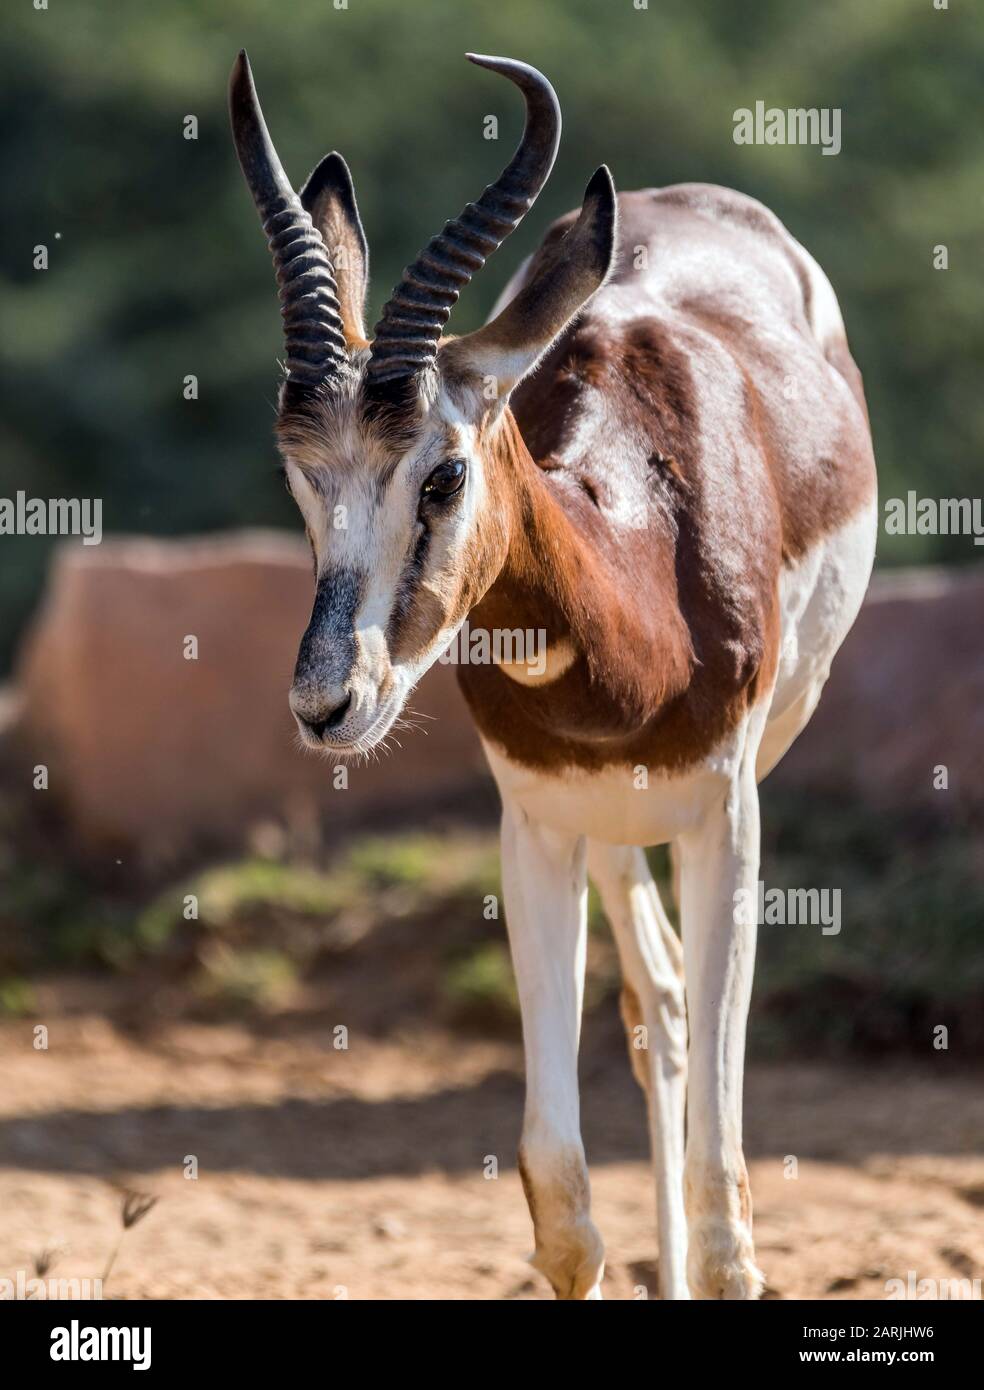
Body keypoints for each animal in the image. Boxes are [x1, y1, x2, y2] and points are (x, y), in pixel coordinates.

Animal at [230, 50, 877, 1300]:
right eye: (299, 476)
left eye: (440, 473)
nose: (329, 701)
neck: (643, 576)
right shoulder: (533, 820)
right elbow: (562, 1204)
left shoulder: (729, 812)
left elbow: (726, 1207)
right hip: (606, 820)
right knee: (655, 997)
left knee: (673, 1008)